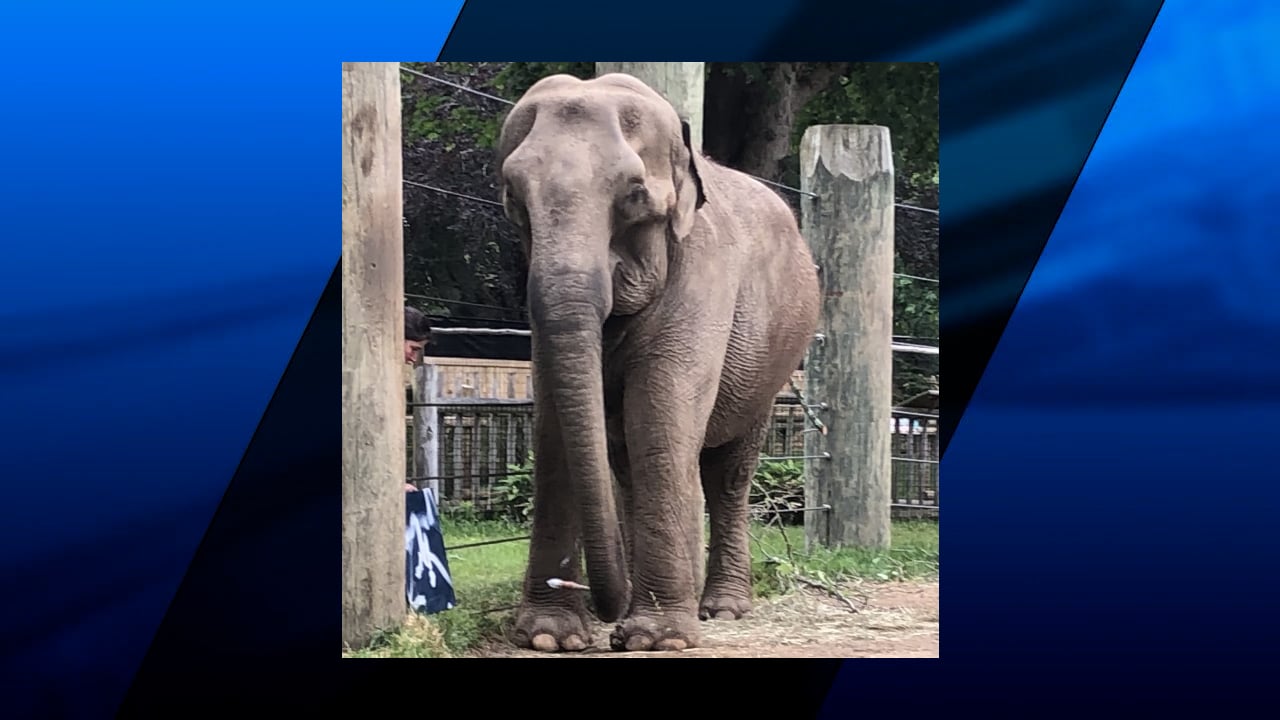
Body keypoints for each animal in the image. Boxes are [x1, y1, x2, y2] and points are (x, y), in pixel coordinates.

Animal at [495, 71, 822, 652]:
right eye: (514, 196)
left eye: (633, 195)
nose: (605, 609)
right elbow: (553, 424)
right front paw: (551, 638)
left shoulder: (702, 274)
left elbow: (659, 415)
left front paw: (657, 639)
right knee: (627, 463)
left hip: (774, 361)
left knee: (728, 474)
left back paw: (722, 609)